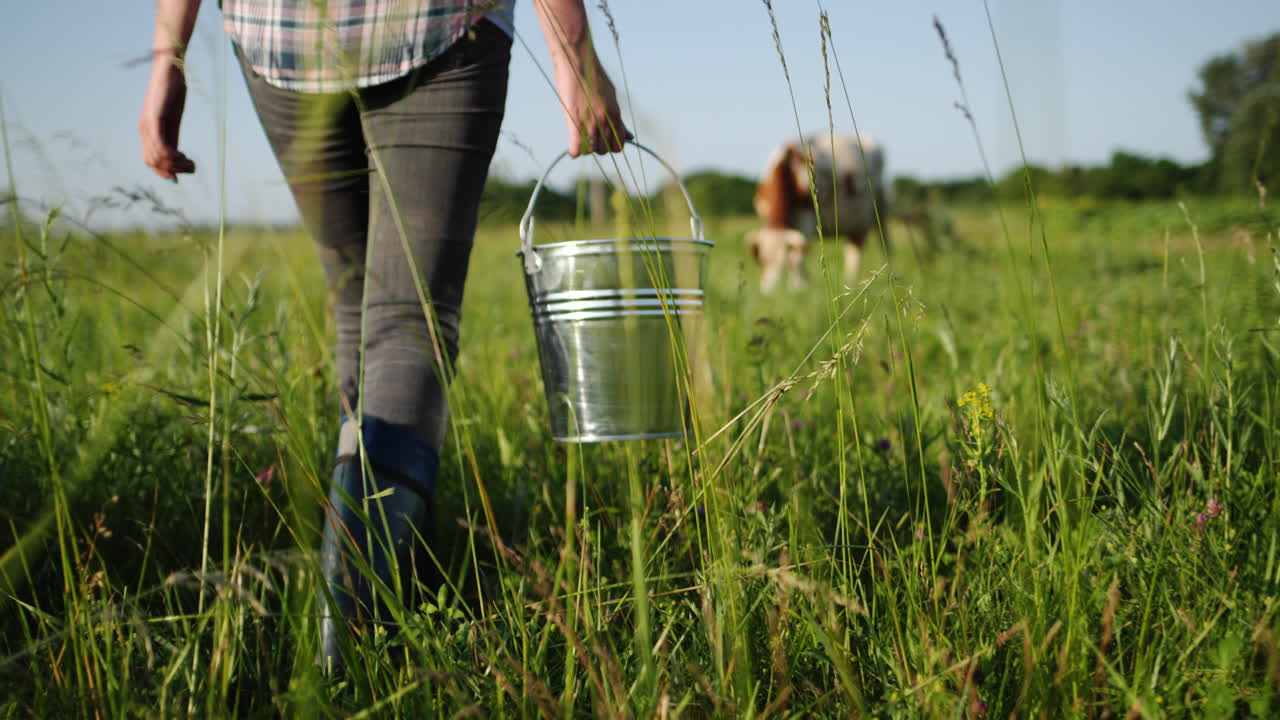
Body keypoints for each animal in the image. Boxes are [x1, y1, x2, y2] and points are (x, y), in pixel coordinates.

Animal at [747, 132, 889, 292]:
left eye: (783, 261)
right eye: (762, 261)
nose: (770, 291)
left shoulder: (807, 217)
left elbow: (798, 257)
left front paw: (799, 286)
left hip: (878, 209)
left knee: (877, 244)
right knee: (852, 247)